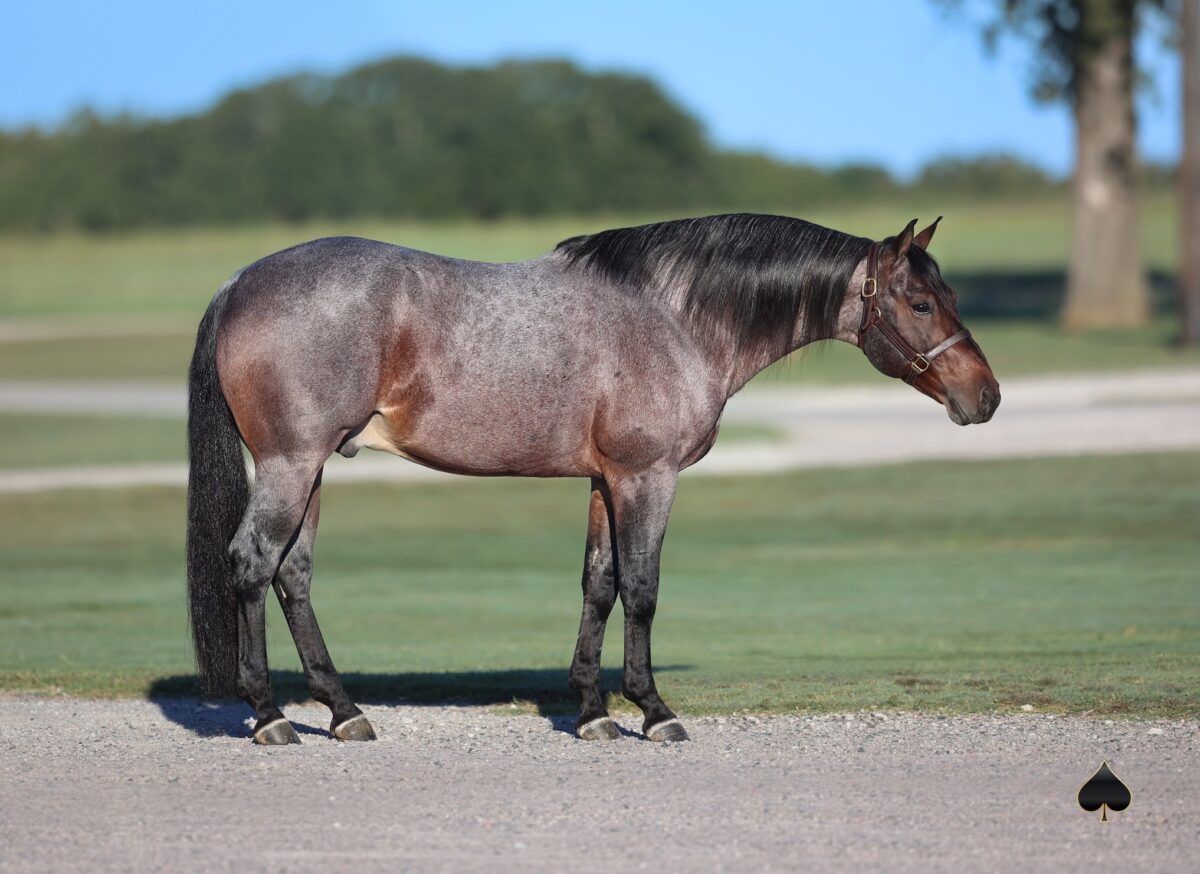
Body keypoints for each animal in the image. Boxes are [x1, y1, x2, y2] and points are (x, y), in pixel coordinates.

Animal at [186, 213, 999, 745]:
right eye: (920, 303)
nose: (986, 397)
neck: (674, 318)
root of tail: (239, 282)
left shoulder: (607, 482)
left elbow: (598, 584)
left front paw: (594, 712)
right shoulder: (648, 478)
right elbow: (641, 589)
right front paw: (655, 711)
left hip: (314, 468)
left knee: (293, 574)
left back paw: (344, 712)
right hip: (292, 465)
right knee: (253, 565)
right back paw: (271, 717)